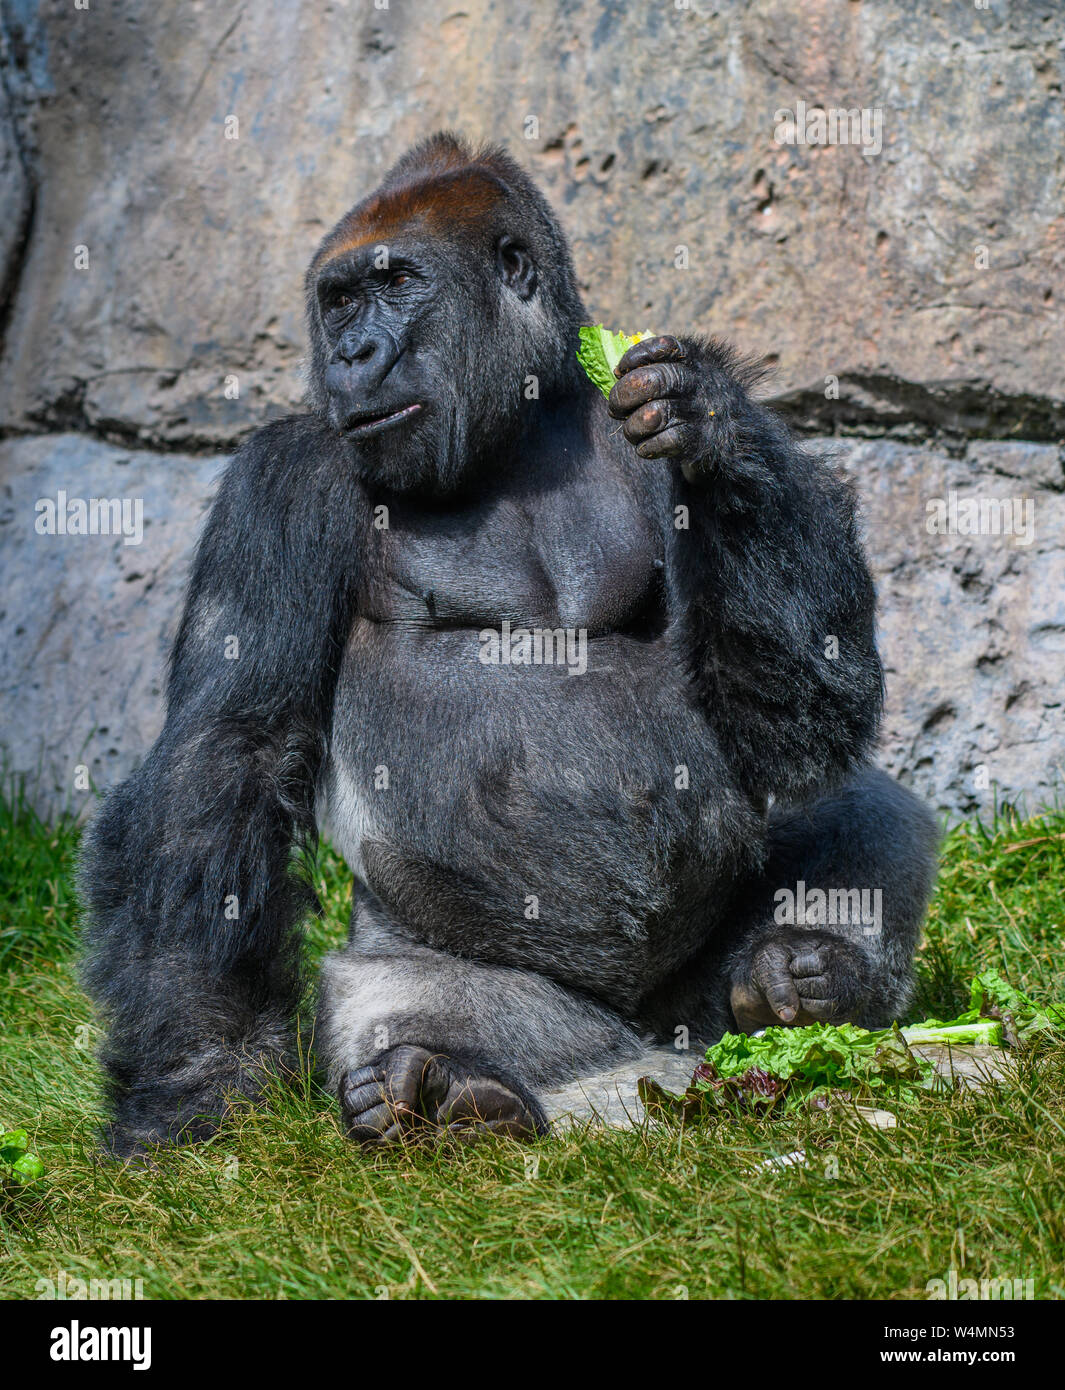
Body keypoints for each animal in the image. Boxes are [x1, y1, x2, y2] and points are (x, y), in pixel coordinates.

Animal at [79, 133, 939, 1154]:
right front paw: (196, 1078)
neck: (513, 431)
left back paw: (808, 980)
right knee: (401, 996)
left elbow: (802, 713)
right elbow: (226, 756)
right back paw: (445, 1089)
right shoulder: (283, 481)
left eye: (395, 282)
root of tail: (658, 1049)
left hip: (697, 1013)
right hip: (545, 1018)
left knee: (853, 798)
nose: (352, 355)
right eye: (338, 301)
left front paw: (715, 429)